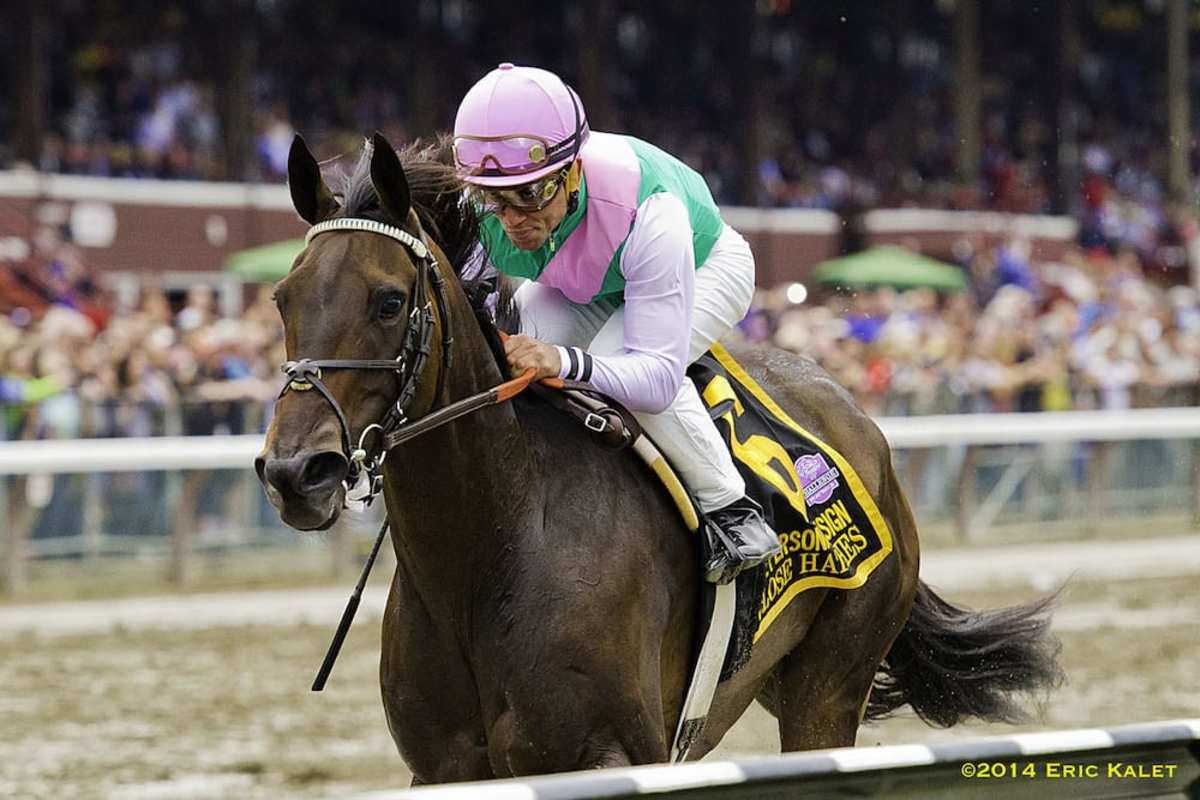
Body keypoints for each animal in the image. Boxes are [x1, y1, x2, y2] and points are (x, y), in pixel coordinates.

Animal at [256, 132, 1062, 784]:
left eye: (389, 301)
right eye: (282, 297)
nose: (296, 473)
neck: (494, 547)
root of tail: (857, 416)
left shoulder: (609, 754)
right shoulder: (444, 769)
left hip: (829, 687)